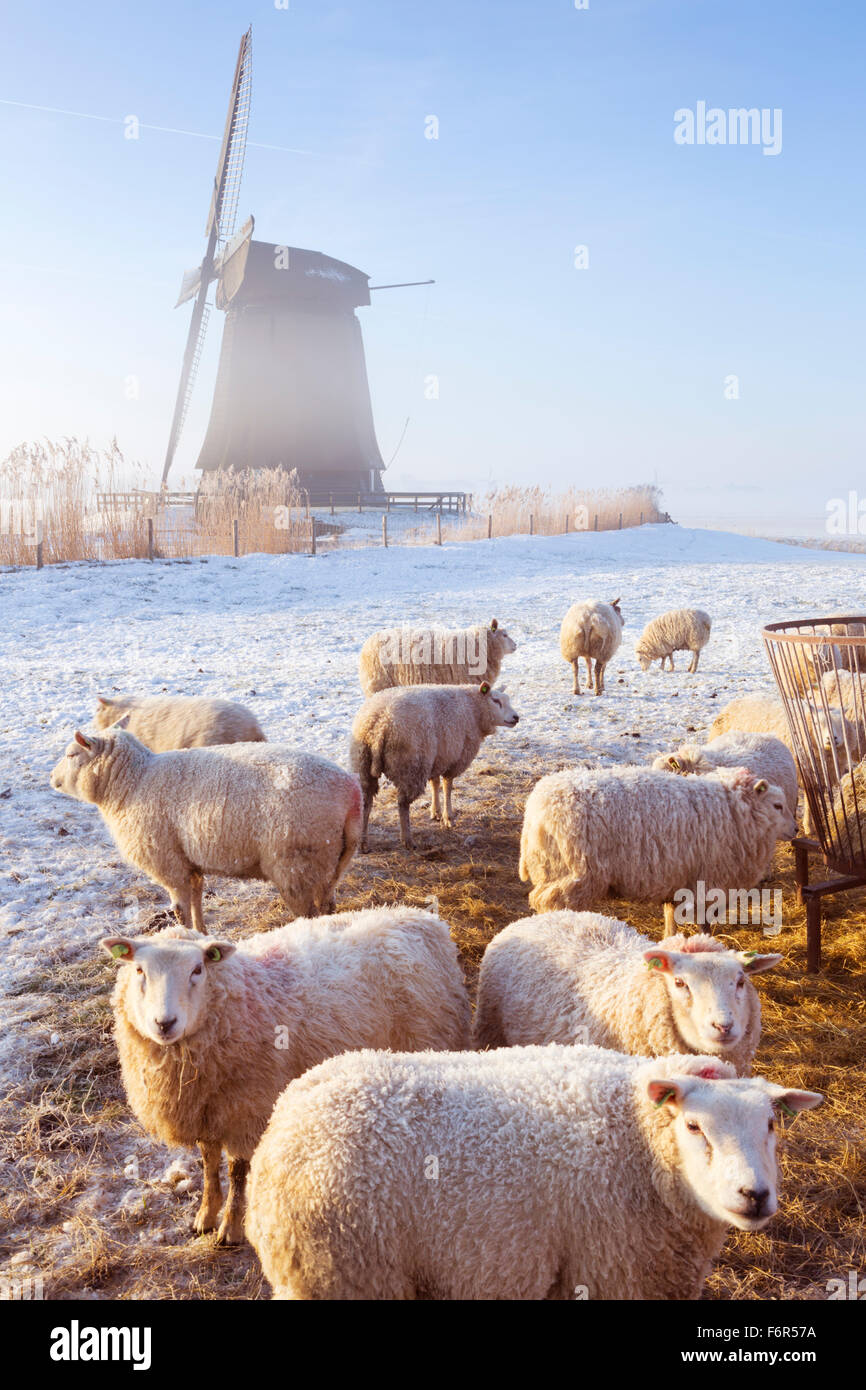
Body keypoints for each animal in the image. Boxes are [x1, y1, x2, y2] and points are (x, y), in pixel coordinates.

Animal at [50, 728, 362, 929]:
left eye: (71, 754)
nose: (51, 778)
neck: (132, 783)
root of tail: (351, 791)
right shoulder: (190, 862)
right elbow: (197, 900)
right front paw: (202, 934)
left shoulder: (169, 864)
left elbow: (180, 910)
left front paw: (186, 936)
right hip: (332, 864)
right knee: (328, 907)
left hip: (297, 863)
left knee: (310, 913)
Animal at [101, 907, 470, 1245]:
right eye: (139, 970)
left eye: (197, 969)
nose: (165, 1023)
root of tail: (423, 919)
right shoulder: (208, 1109)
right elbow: (208, 1163)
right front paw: (205, 1215)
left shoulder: (247, 1109)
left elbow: (237, 1172)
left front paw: (230, 1228)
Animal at [245, 1043, 821, 1300]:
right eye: (695, 1126)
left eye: (772, 1124)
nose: (755, 1194)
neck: (638, 1140)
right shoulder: (610, 1272)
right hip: (347, 1273)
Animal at [350, 682, 519, 850]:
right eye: (496, 700)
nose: (516, 717)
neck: (474, 709)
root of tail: (379, 724)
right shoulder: (455, 758)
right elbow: (447, 786)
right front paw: (448, 817)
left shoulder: (438, 758)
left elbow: (435, 783)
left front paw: (436, 812)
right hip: (411, 767)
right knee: (402, 804)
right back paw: (407, 839)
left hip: (363, 765)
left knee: (366, 802)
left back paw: (363, 842)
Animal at [518, 763, 796, 927]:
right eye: (777, 806)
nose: (795, 830)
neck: (733, 810)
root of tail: (535, 809)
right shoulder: (707, 881)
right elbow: (702, 923)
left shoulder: (677, 880)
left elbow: (671, 918)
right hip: (569, 876)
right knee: (551, 904)